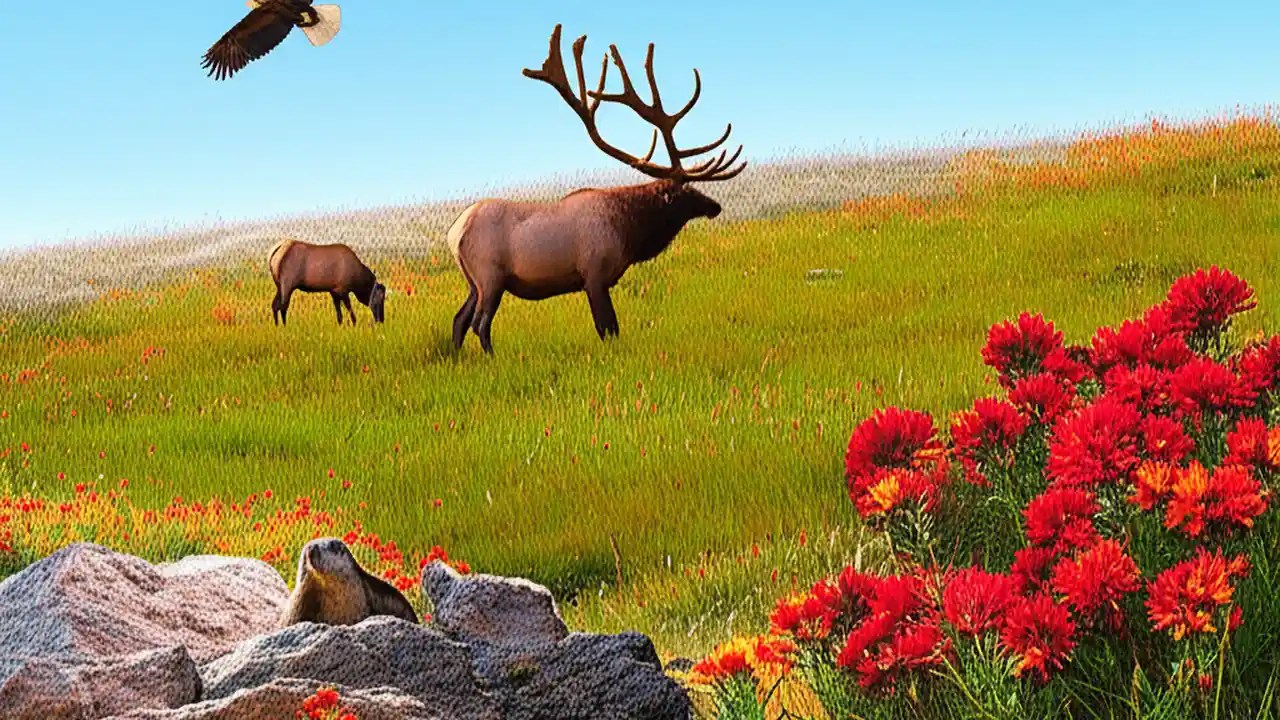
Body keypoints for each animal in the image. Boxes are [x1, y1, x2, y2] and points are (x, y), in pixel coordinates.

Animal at [444, 24, 746, 354]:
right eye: (685, 193)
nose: (714, 206)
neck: (630, 230)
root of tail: (454, 234)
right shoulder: (595, 275)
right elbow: (608, 328)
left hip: (473, 282)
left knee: (459, 320)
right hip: (490, 277)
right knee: (480, 324)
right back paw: (491, 358)